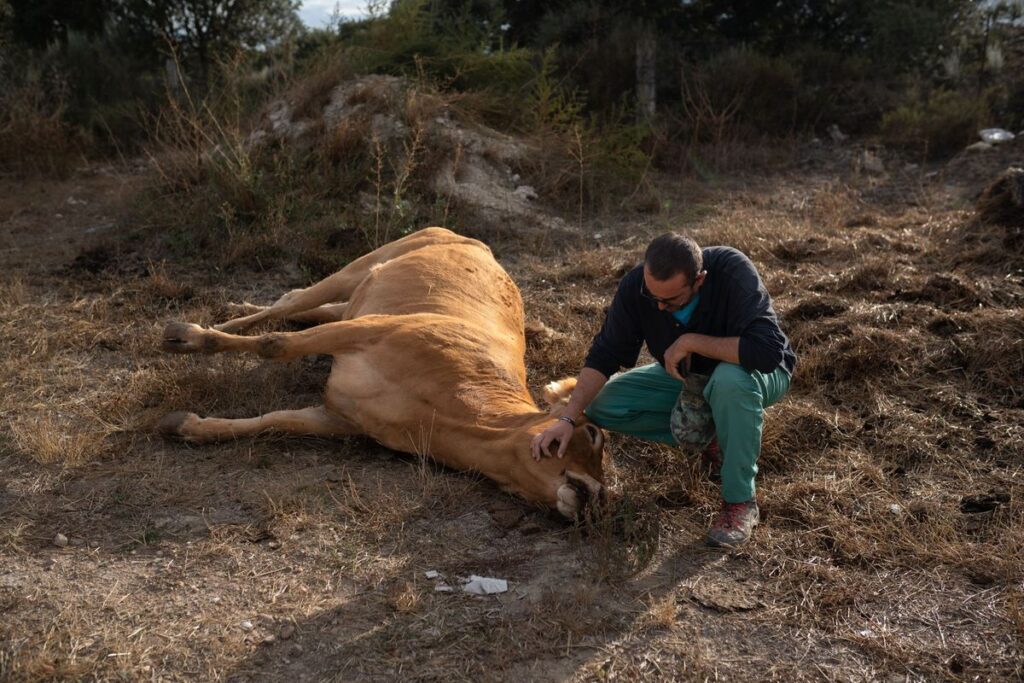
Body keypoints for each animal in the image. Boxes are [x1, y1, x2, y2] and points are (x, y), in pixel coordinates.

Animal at [158, 227, 605, 519]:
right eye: (593, 433)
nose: (600, 497)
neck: (449, 411)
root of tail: (478, 242)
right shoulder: (373, 329)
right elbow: (275, 345)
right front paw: (189, 338)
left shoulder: (343, 418)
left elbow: (275, 421)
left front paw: (185, 425)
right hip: (364, 265)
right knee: (293, 302)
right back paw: (217, 320)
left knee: (304, 303)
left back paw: (237, 308)